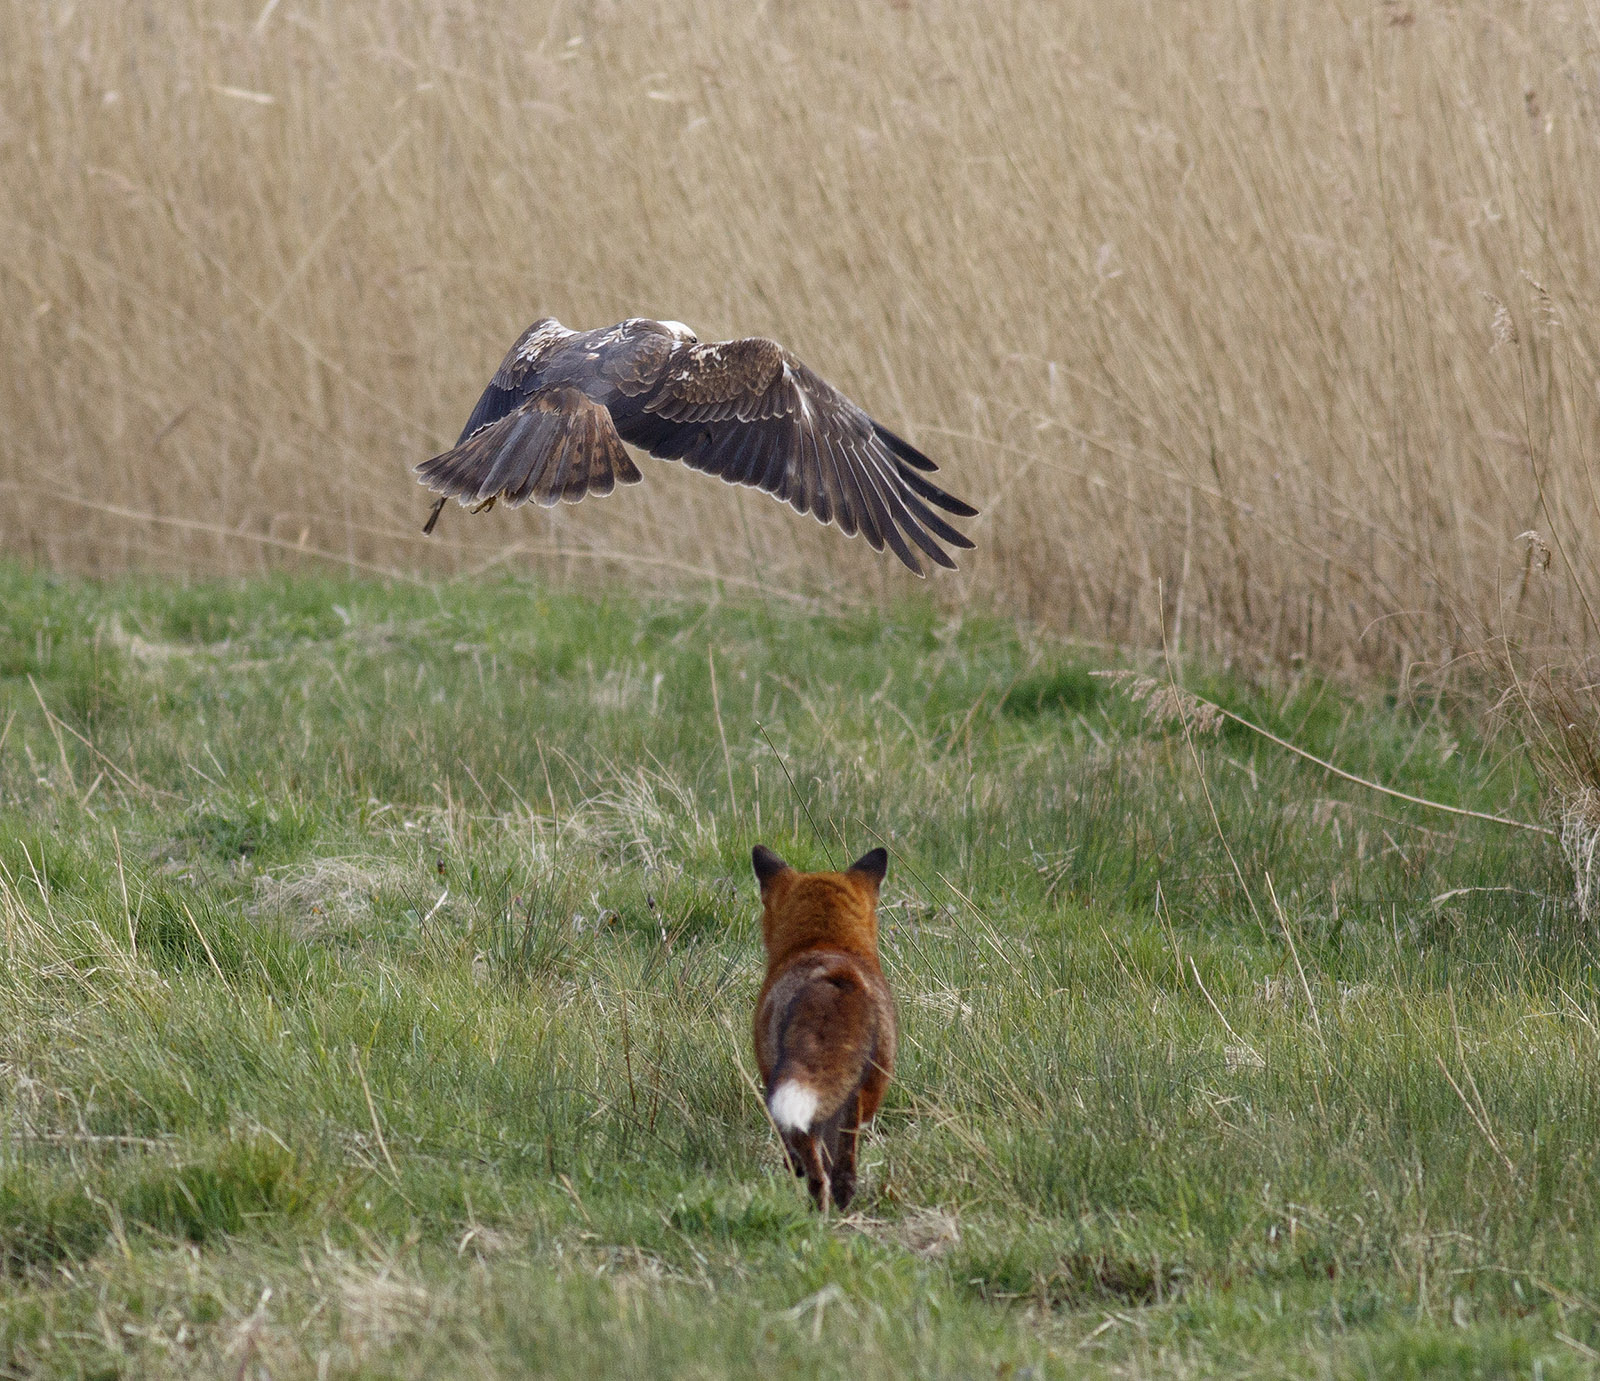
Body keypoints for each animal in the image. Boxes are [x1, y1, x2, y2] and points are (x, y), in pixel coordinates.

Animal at [751, 843, 897, 1212]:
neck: (827, 942)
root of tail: (836, 976)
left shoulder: (769, 1073)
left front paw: (793, 1166)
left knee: (815, 1166)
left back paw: (816, 1209)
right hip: (862, 1093)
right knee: (844, 1172)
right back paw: (838, 1210)